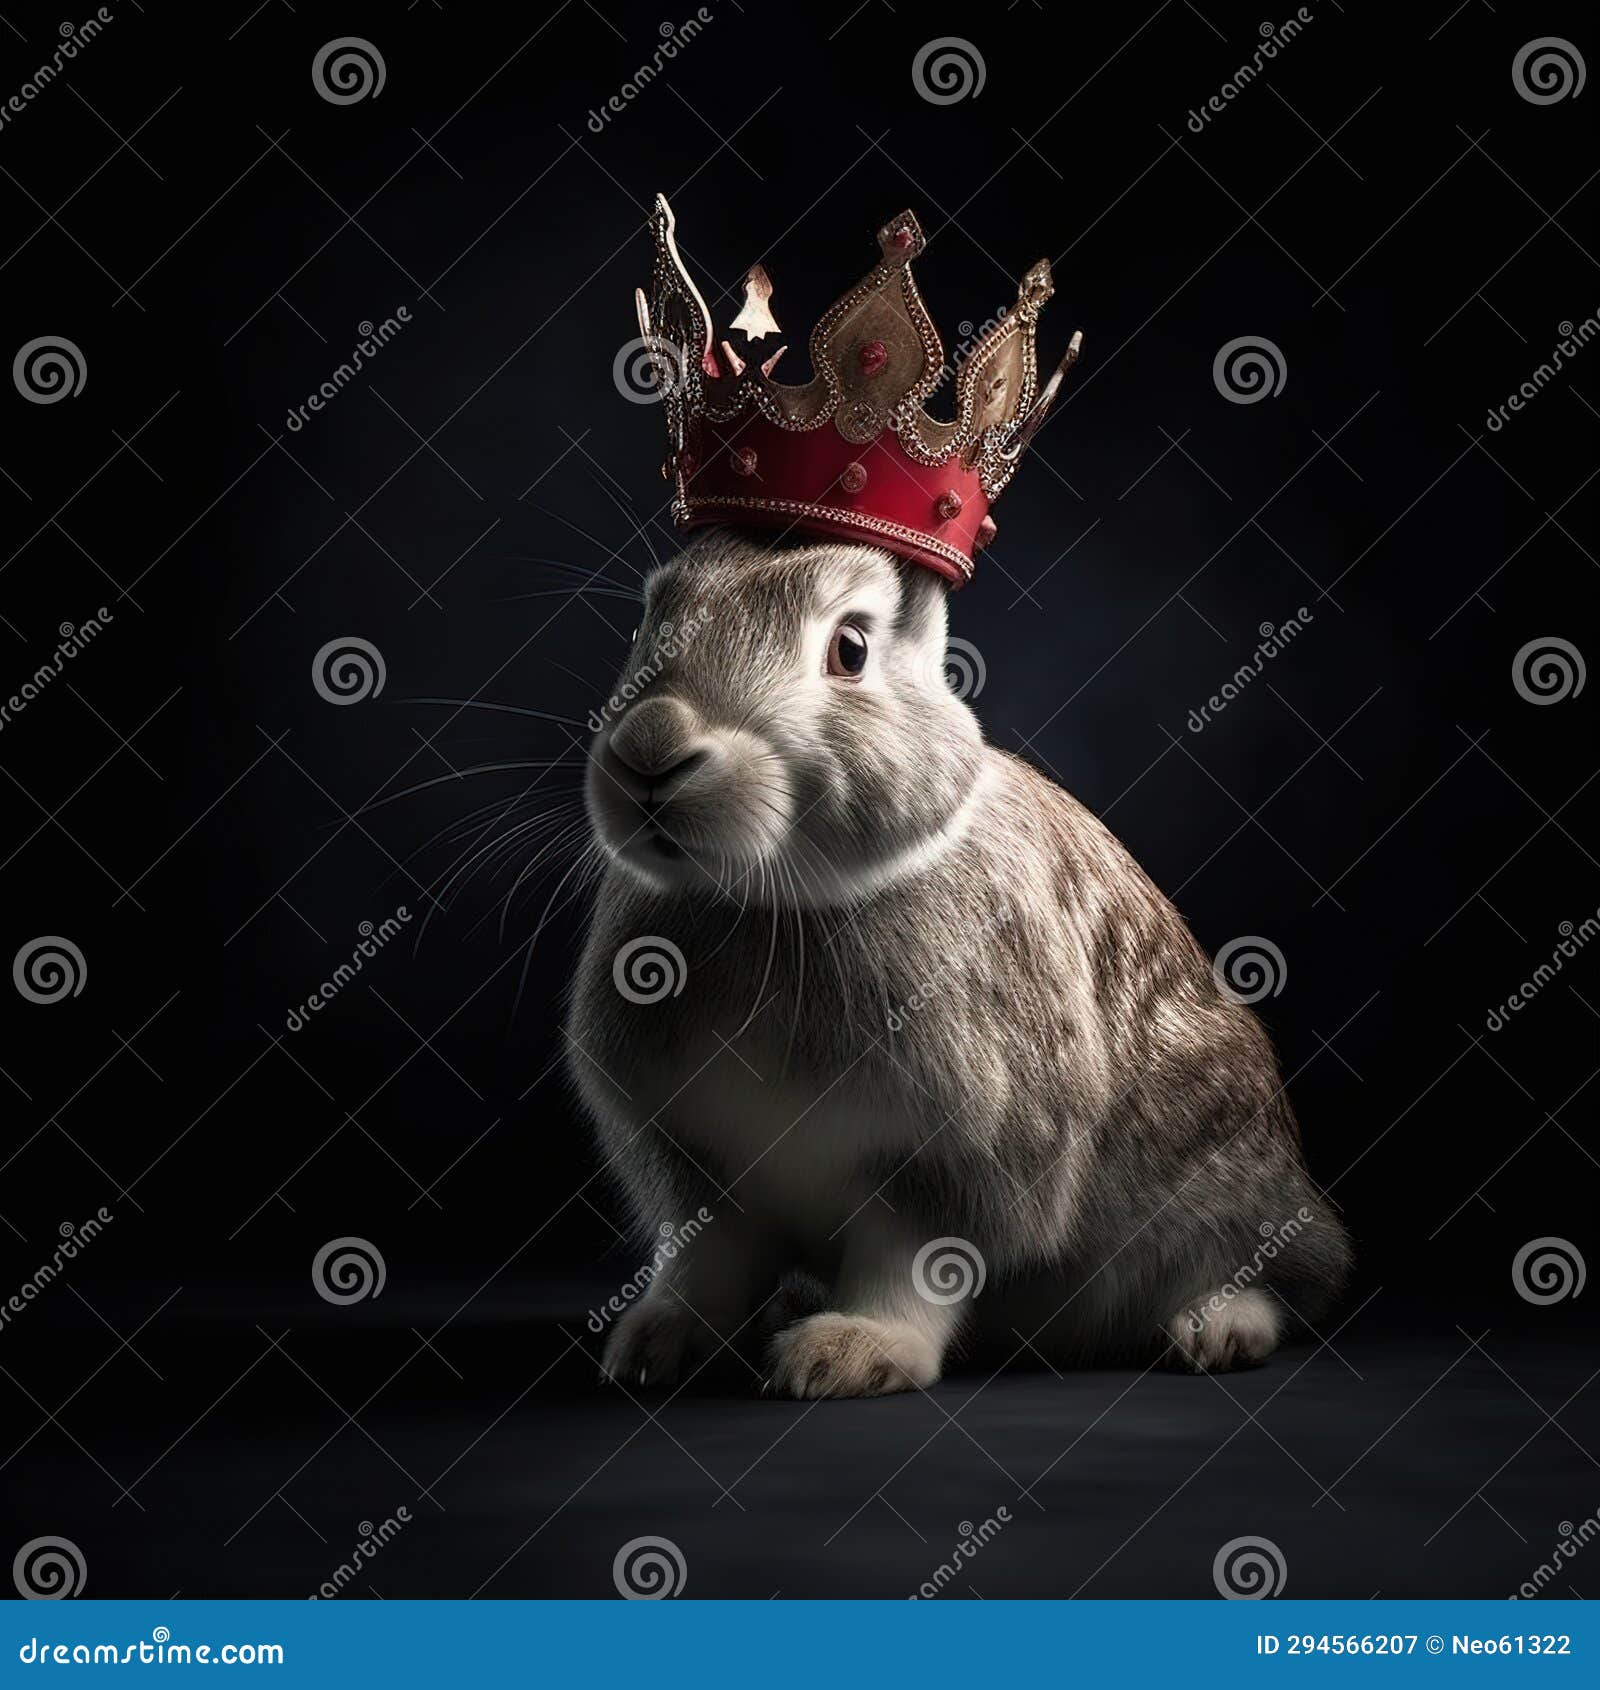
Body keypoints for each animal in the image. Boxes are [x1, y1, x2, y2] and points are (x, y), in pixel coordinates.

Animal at [566, 524, 1351, 1399]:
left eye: (849, 649)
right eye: (649, 621)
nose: (651, 749)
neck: (773, 909)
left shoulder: (957, 1159)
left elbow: (913, 1263)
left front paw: (846, 1355)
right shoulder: (695, 1164)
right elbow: (709, 1260)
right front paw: (656, 1347)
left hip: (1229, 1177)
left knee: (1277, 1276)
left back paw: (1217, 1330)